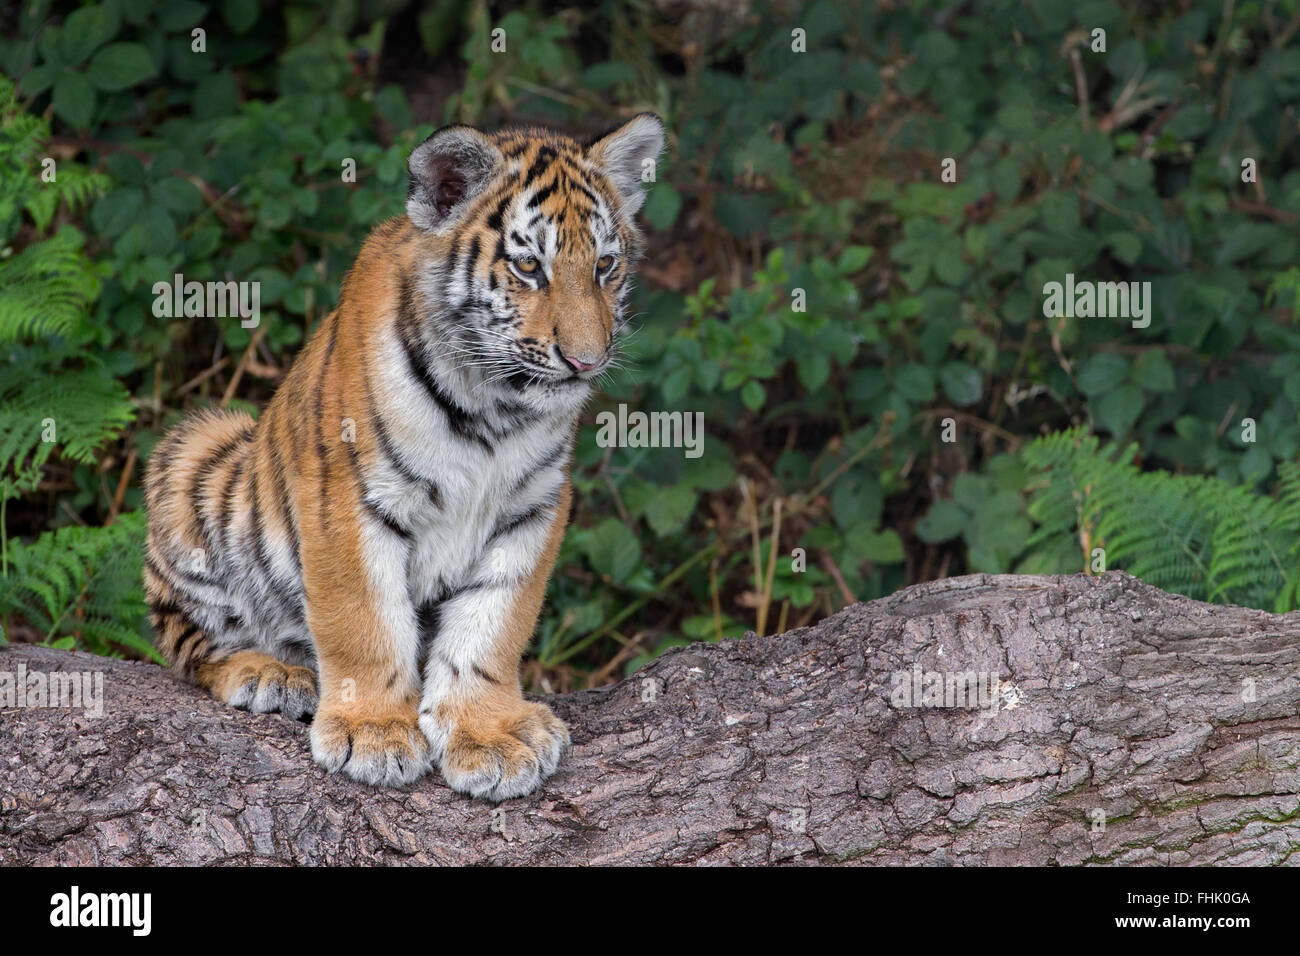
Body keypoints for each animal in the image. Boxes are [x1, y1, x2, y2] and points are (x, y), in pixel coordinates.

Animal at [143, 113, 665, 800]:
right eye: (529, 266)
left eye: (605, 266)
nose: (586, 360)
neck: (495, 407)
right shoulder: (345, 495)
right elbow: (363, 619)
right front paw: (373, 733)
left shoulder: (535, 506)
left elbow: (494, 623)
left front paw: (490, 734)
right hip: (200, 445)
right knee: (188, 641)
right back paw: (268, 673)